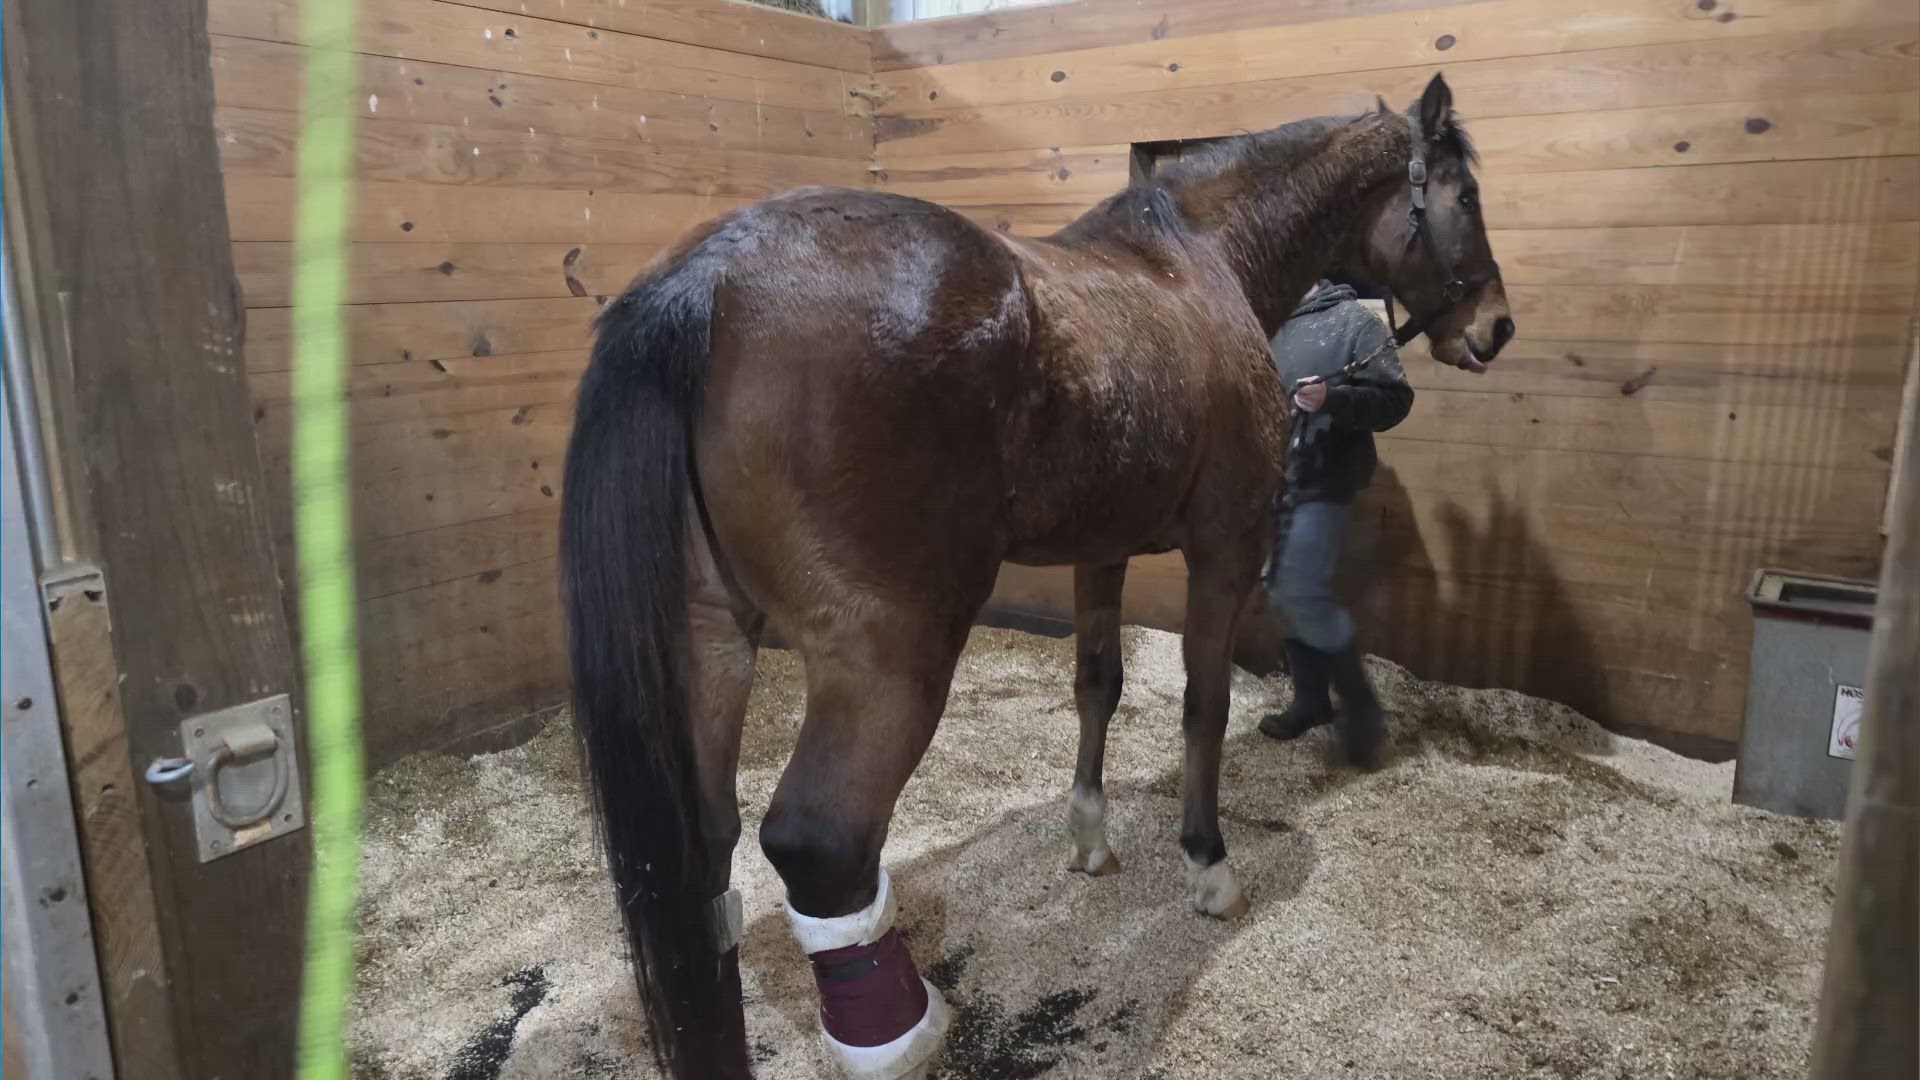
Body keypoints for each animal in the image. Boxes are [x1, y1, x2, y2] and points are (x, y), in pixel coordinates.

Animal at [561, 73, 1512, 1080]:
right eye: (1465, 197)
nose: (1497, 325)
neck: (1202, 262)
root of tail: (710, 280)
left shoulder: (1103, 548)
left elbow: (1098, 684)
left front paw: (1089, 838)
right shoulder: (1224, 548)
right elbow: (1202, 703)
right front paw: (1207, 864)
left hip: (706, 641)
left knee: (703, 846)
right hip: (890, 648)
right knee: (821, 844)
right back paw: (901, 1032)